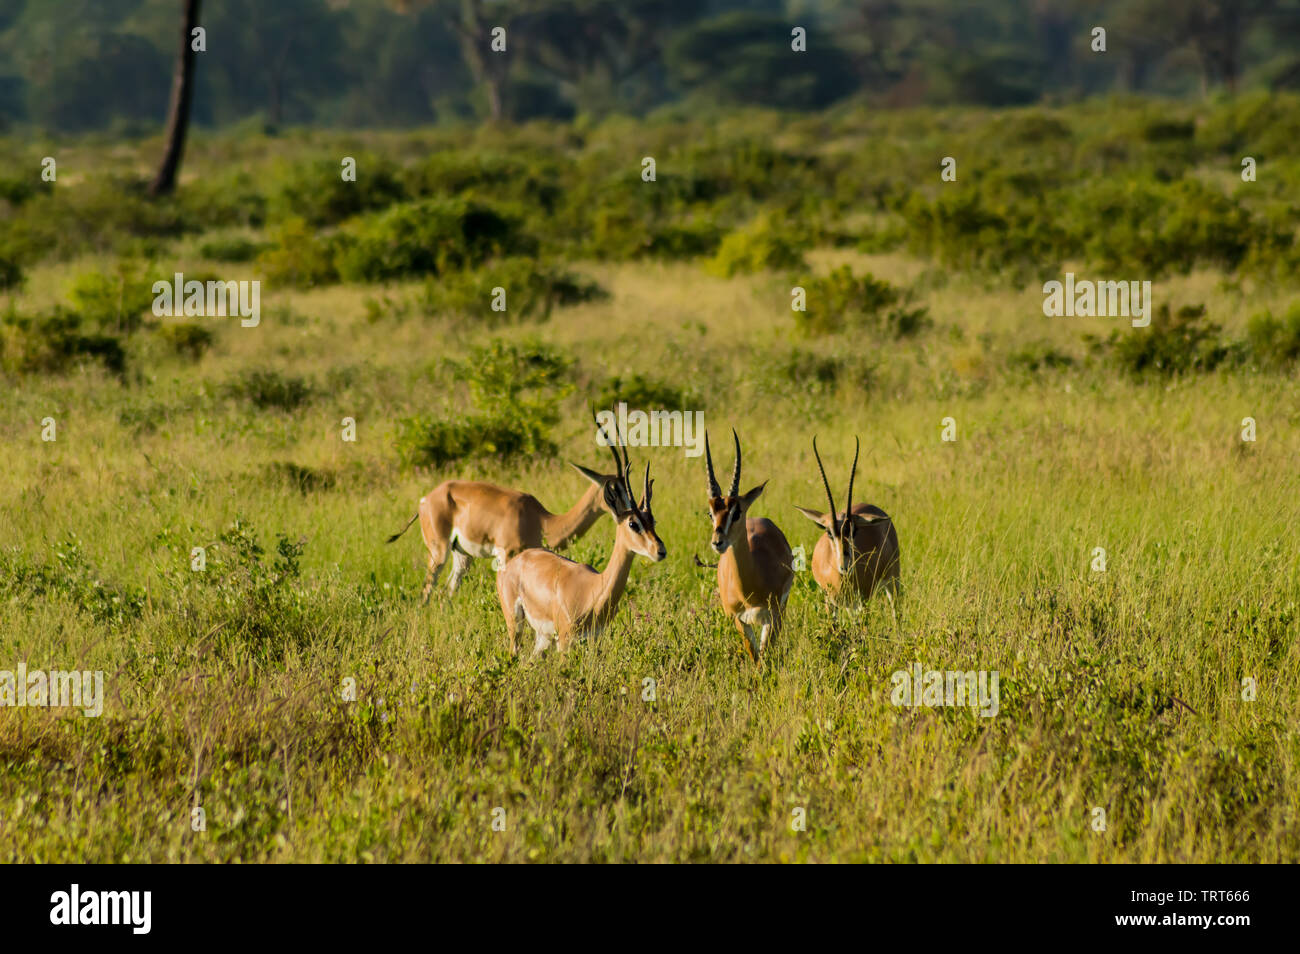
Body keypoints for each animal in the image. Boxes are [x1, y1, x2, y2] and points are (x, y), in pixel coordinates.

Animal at [386, 465, 630, 603]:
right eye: (612, 490)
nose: (630, 513)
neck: (542, 521)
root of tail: (426, 499)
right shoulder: (506, 557)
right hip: (439, 552)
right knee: (428, 588)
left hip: (462, 555)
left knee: (448, 589)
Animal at [496, 434, 665, 657]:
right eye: (632, 523)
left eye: (652, 521)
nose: (660, 550)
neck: (593, 590)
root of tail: (513, 562)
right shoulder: (564, 641)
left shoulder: (594, 640)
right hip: (516, 625)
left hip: (542, 638)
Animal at [704, 430, 795, 663]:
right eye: (711, 513)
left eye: (737, 512)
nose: (717, 542)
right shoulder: (739, 620)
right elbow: (755, 657)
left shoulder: (773, 616)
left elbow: (764, 657)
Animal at [794, 436, 900, 607]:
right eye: (828, 532)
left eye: (854, 531)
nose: (844, 565)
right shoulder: (829, 602)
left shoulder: (863, 600)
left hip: (893, 581)